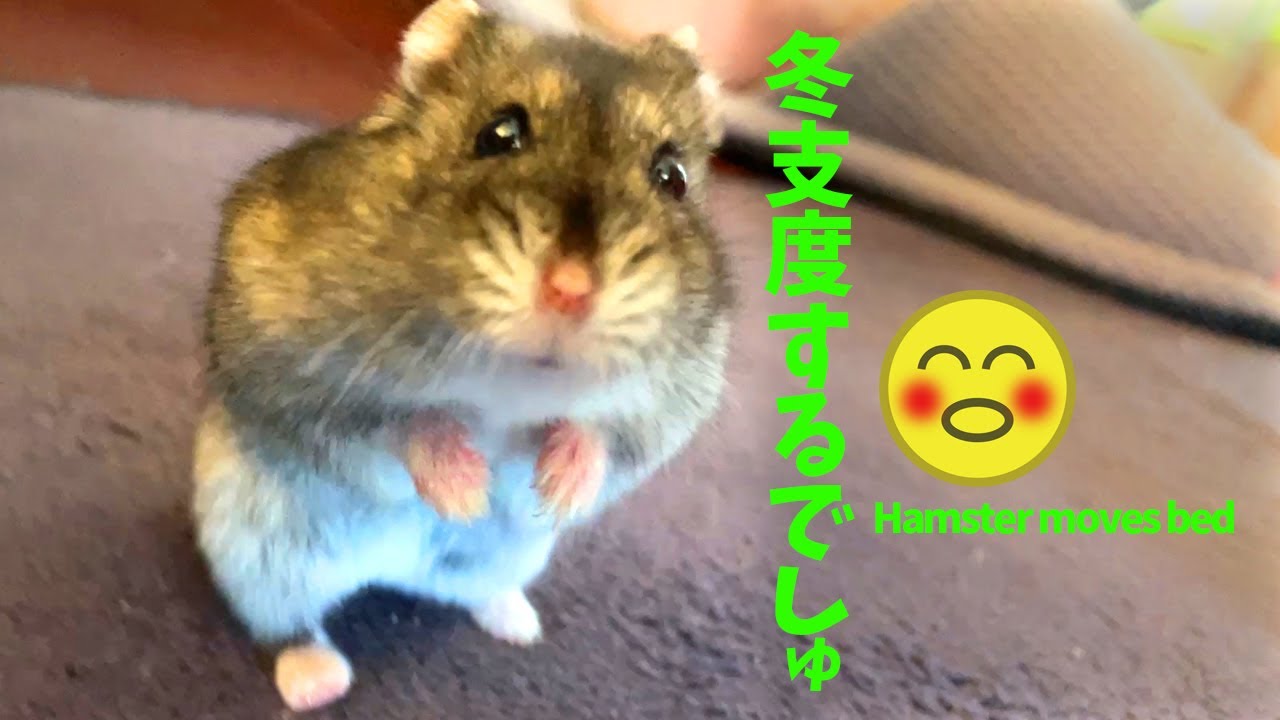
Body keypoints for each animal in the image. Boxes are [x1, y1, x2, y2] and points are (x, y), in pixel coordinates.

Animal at [190, 0, 735, 712]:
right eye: (498, 134)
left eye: (671, 176)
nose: (571, 290)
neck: (509, 381)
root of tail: (392, 574)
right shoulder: (297, 375)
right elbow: (403, 424)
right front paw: (466, 492)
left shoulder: (672, 405)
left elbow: (601, 434)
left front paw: (556, 490)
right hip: (256, 550)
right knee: (284, 623)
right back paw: (318, 682)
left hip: (508, 558)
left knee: (475, 591)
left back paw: (518, 624)